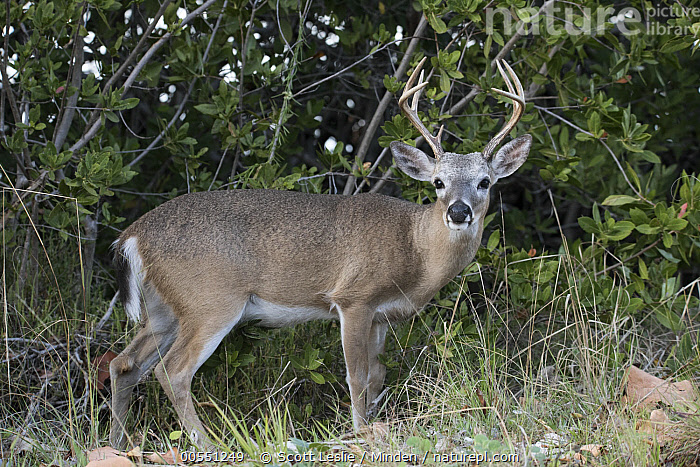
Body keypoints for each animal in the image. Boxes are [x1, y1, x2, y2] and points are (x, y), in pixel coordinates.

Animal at [109, 57, 531, 449]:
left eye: (485, 182)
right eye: (439, 182)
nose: (458, 211)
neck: (415, 249)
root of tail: (132, 236)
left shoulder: (382, 316)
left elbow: (377, 375)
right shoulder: (354, 297)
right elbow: (357, 376)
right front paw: (359, 434)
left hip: (164, 308)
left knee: (123, 363)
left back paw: (116, 442)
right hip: (210, 300)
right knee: (173, 371)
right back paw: (209, 444)